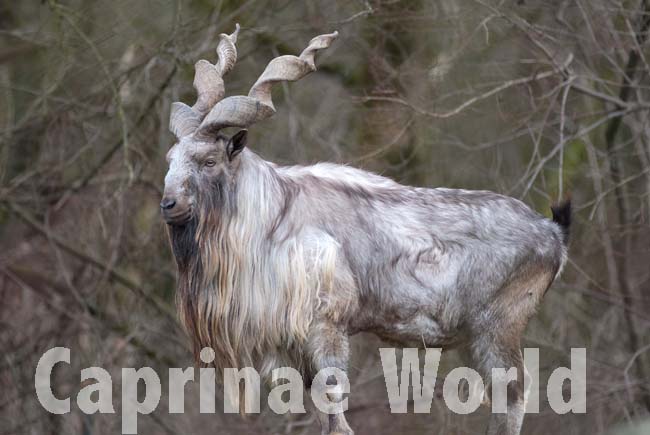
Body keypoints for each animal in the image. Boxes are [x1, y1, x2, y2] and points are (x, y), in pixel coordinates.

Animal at [162, 25, 570, 435]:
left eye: (208, 160)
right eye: (171, 158)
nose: (168, 204)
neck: (270, 218)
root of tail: (552, 232)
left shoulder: (327, 326)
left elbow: (336, 415)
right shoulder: (295, 348)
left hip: (498, 328)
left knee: (514, 393)